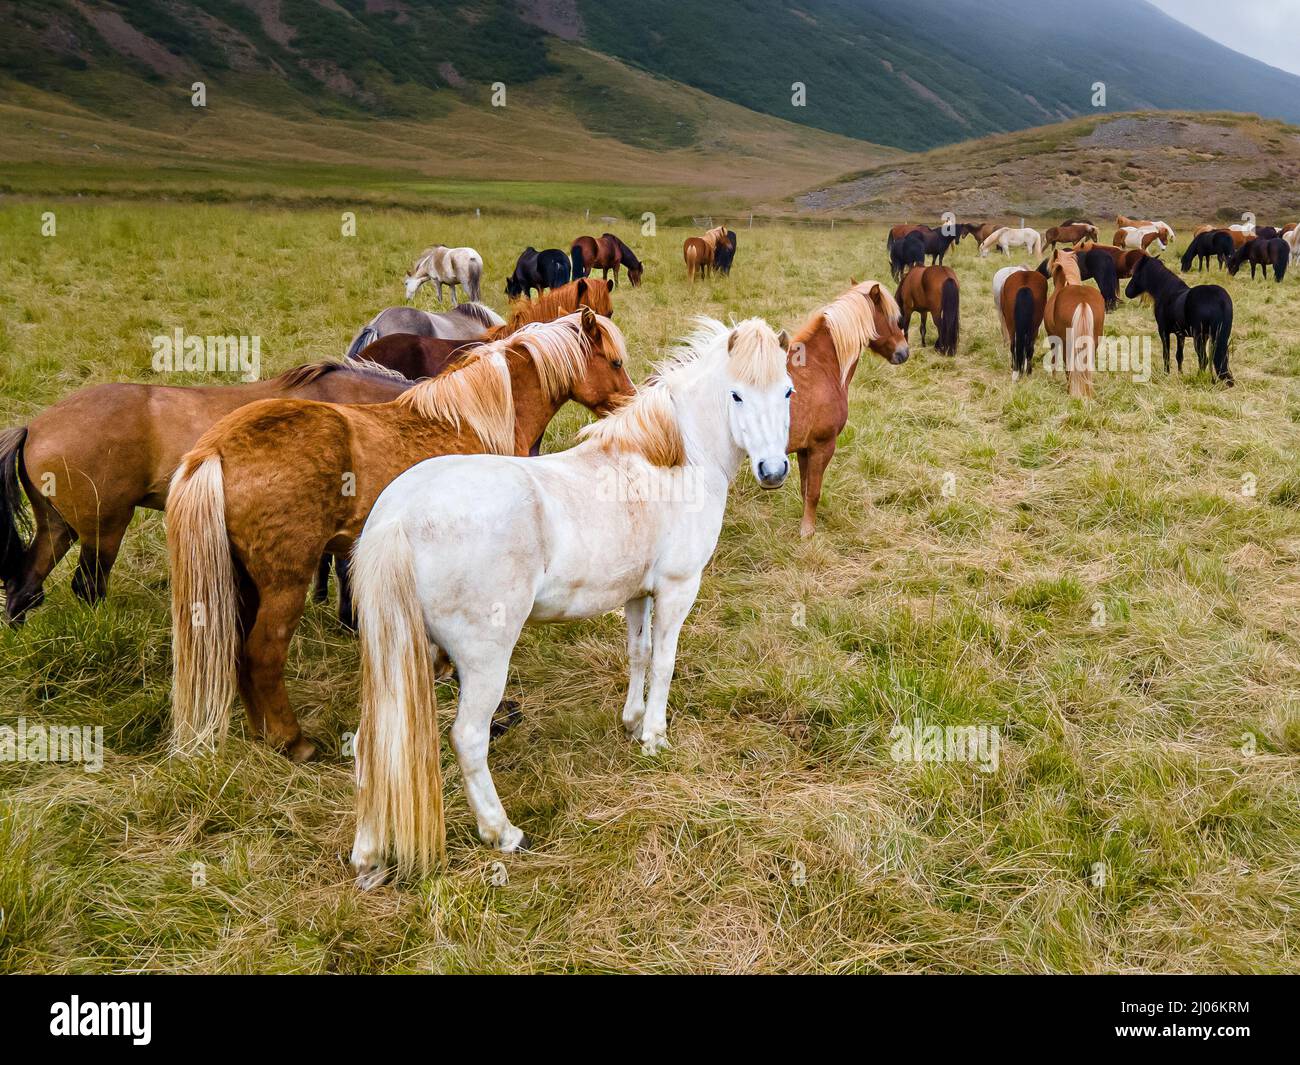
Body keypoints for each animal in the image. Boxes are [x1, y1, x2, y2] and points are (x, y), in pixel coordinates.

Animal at [167, 311, 634, 762]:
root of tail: (216, 450)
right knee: (262, 656)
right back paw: (293, 741)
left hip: (242, 583)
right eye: (615, 362)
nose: (628, 406)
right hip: (285, 584)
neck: (476, 420)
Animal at [347, 317, 793, 883]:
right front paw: (654, 737)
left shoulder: (636, 593)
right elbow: (664, 661)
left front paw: (631, 721)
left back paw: (368, 856)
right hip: (482, 661)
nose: (774, 470)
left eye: (787, 391)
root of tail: (398, 517)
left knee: (373, 740)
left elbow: (638, 654)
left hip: (406, 655)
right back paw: (502, 833)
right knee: (467, 738)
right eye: (736, 394)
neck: (668, 459)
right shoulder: (677, 588)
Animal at [785, 280, 909, 538]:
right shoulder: (822, 446)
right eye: (892, 318)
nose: (904, 352)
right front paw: (808, 532)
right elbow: (814, 492)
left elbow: (805, 489)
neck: (818, 367)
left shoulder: (804, 450)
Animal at [1043, 248, 1101, 400]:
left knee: (1068, 364)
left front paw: (1053, 378)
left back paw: (1070, 390)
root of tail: (1082, 301)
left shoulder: (1052, 337)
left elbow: (1053, 358)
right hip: (1095, 341)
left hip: (1066, 342)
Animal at [1124, 254, 1234, 385]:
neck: (1167, 292)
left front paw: (1166, 374)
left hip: (1199, 337)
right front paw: (1180, 375)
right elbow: (1179, 356)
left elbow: (1166, 354)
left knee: (1203, 358)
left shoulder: (1163, 332)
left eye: (1135, 274)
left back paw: (1198, 378)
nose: (1127, 292)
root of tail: (1220, 299)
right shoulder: (1180, 335)